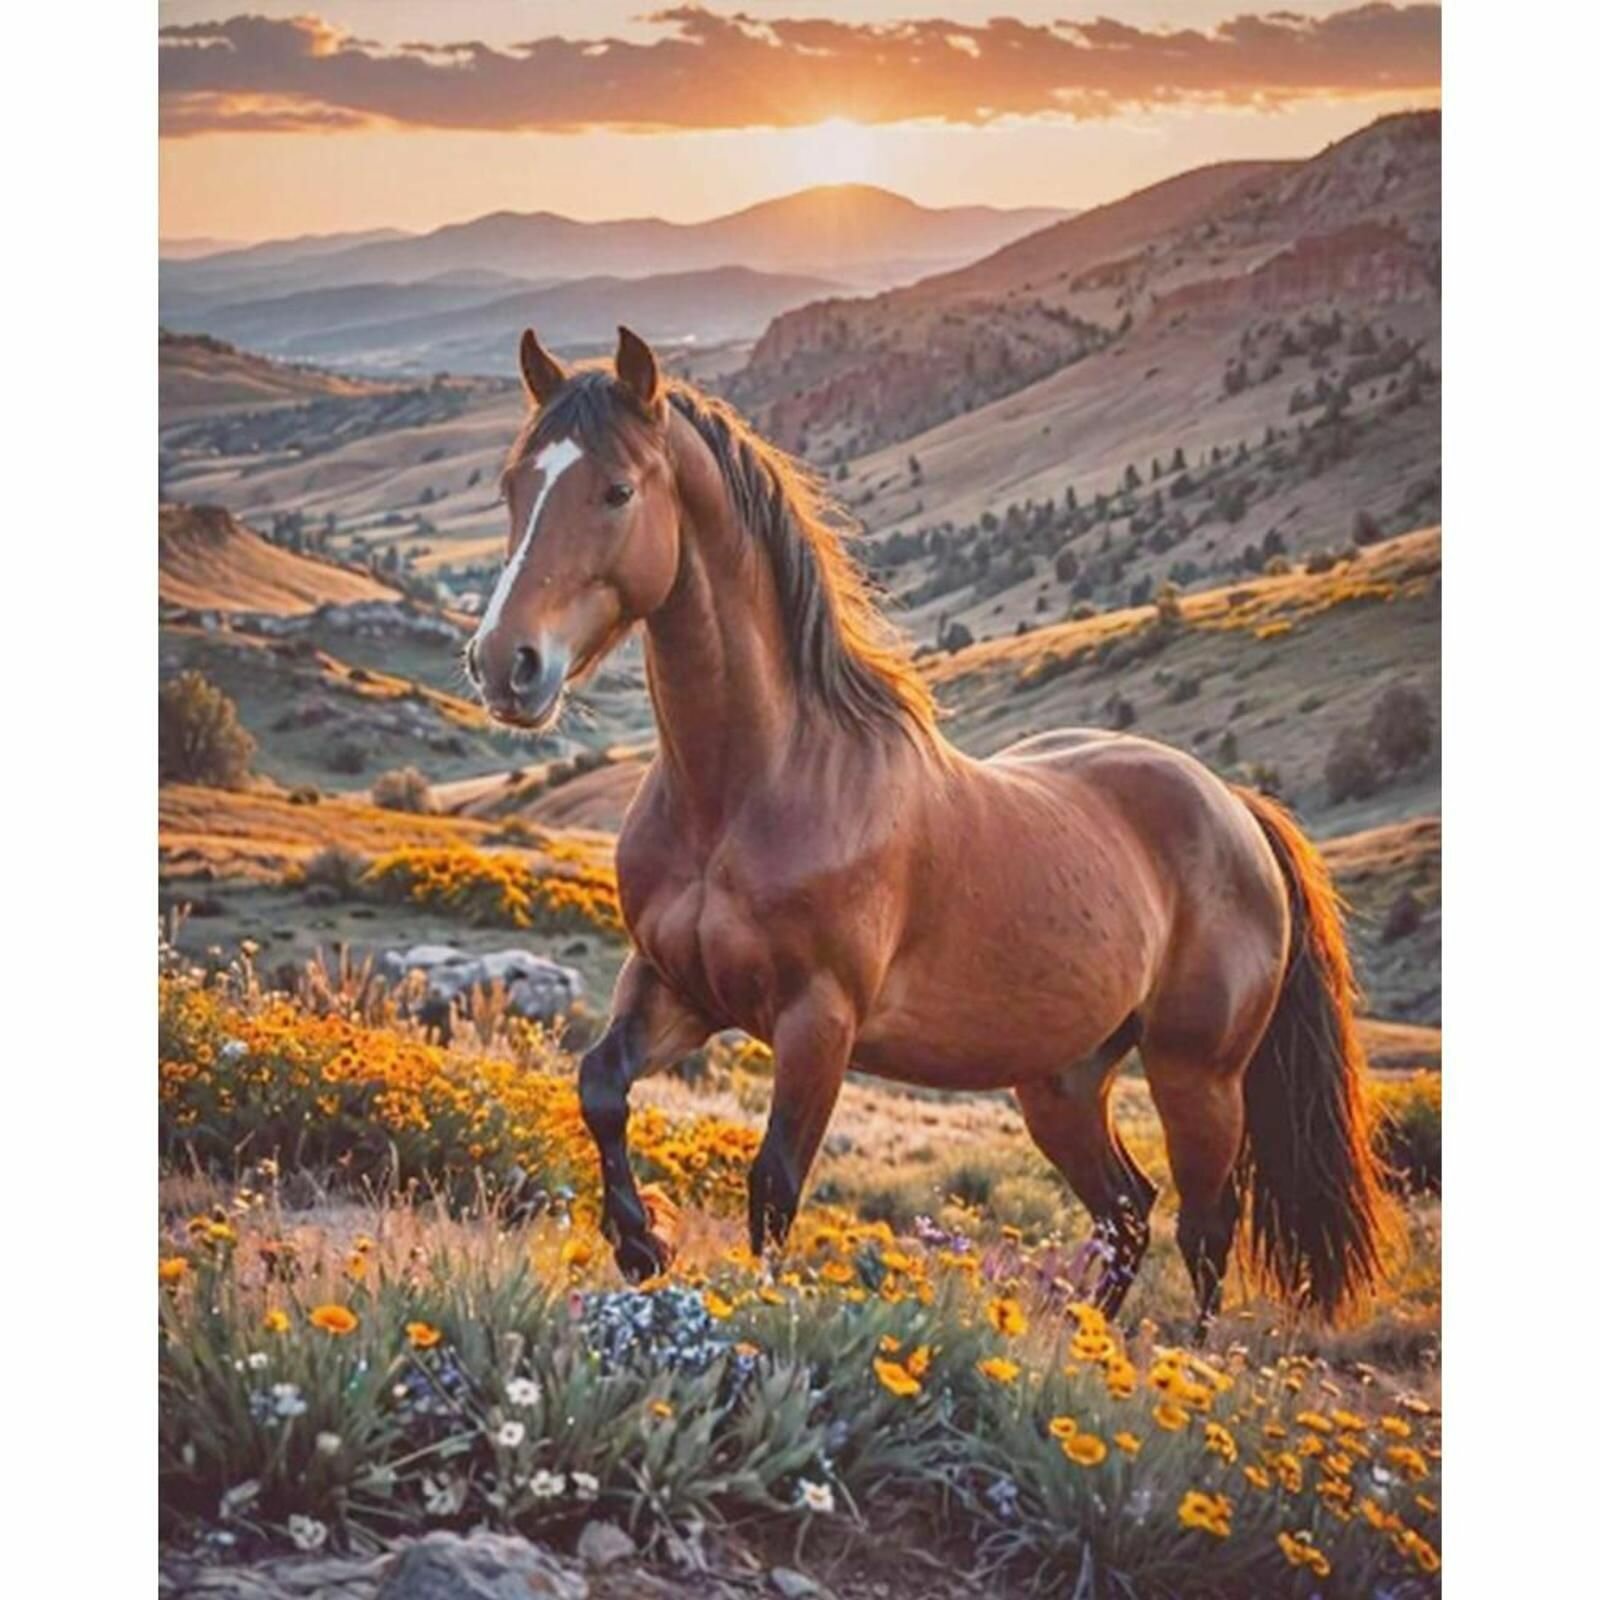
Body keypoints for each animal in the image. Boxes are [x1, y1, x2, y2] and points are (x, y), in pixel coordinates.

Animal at [464, 324, 1394, 1333]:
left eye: (617, 491)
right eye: (512, 486)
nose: (504, 665)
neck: (759, 786)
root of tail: (1233, 809)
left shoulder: (817, 1022)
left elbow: (774, 1184)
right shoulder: (677, 987)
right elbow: (600, 1087)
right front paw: (642, 1244)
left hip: (1200, 1076)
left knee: (1204, 1230)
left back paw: (1182, 1358)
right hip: (1060, 1079)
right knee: (1127, 1211)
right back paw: (1086, 1345)